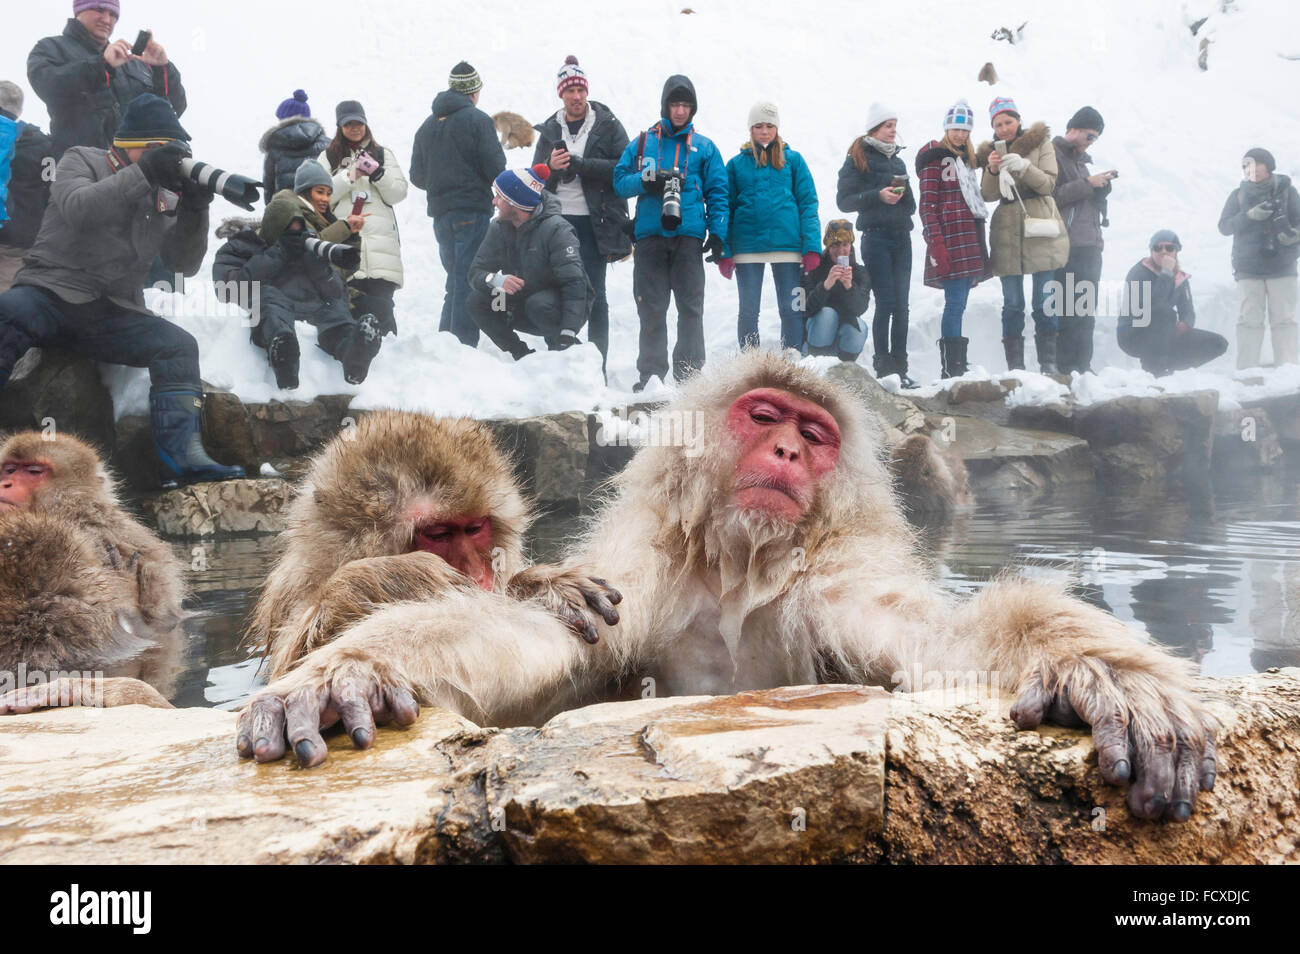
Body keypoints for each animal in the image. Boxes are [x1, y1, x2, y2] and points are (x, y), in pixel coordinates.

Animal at [248, 410, 621, 681]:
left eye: (474, 528)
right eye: (439, 534)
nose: (477, 573)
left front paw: (542, 585)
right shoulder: (294, 594)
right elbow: (294, 662)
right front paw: (398, 578)